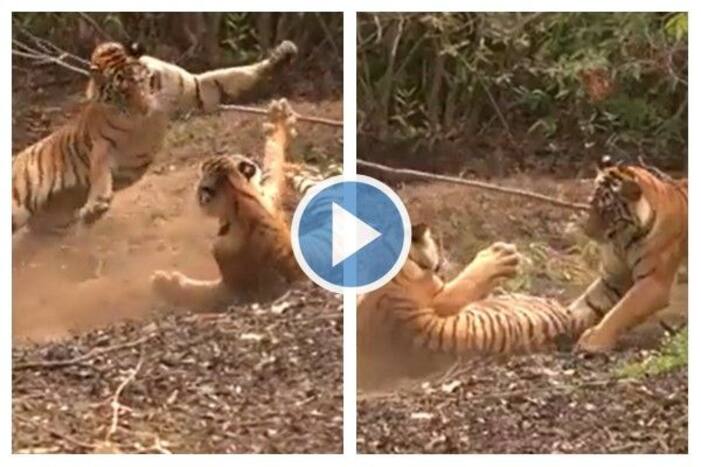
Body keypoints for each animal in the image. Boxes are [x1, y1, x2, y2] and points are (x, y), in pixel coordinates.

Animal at [12, 39, 298, 234]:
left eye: (140, 82)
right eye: (121, 93)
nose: (144, 109)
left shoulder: (195, 88)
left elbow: (231, 75)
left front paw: (280, 56)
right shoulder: (103, 144)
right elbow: (99, 168)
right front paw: (96, 204)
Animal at [150, 99, 306, 309]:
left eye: (202, 188)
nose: (198, 198)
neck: (239, 196)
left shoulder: (231, 286)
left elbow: (199, 292)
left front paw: (164, 283)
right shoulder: (268, 194)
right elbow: (273, 163)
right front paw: (279, 119)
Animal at [573, 156, 688, 353]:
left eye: (607, 210)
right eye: (590, 205)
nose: (587, 232)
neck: (623, 241)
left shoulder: (653, 282)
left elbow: (622, 311)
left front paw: (594, 339)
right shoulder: (614, 277)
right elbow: (587, 302)